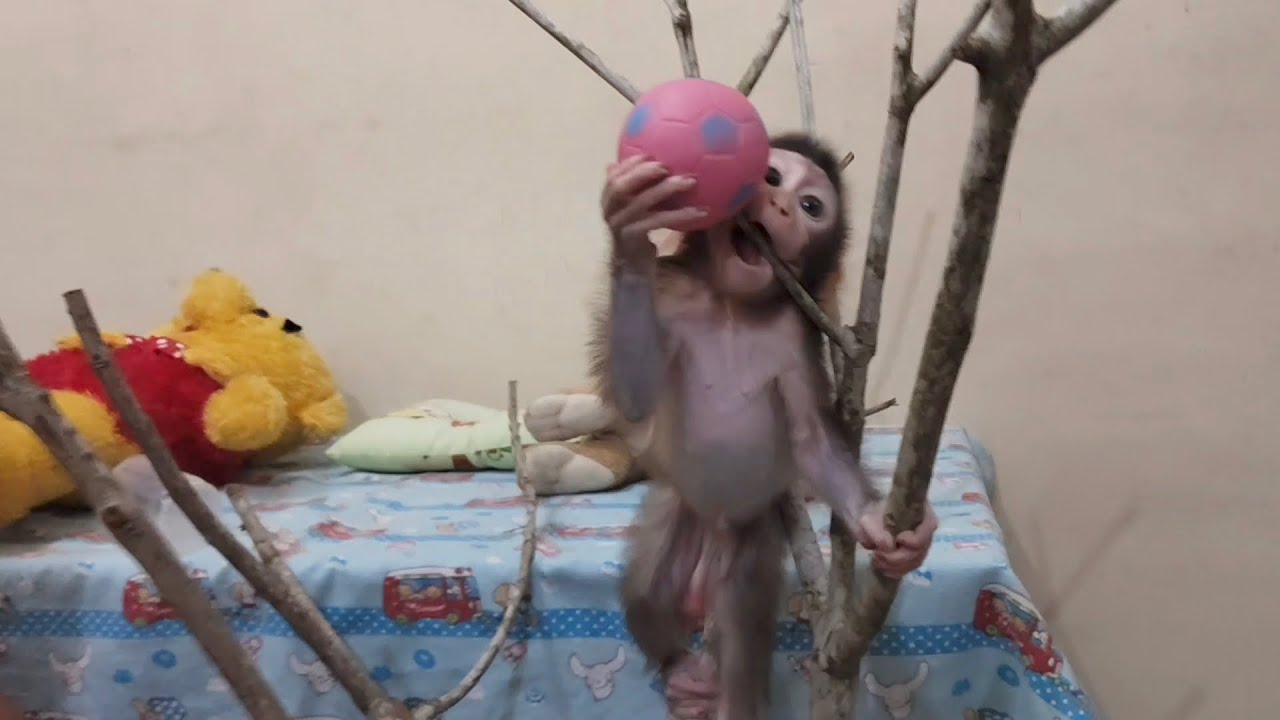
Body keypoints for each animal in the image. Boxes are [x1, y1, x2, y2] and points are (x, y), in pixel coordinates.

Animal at [589, 132, 939, 720]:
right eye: (772, 178)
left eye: (812, 206)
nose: (779, 207)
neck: (733, 303)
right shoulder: (669, 293)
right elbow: (636, 398)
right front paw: (632, 232)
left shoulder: (797, 335)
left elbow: (814, 441)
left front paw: (878, 524)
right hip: (678, 511)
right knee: (648, 593)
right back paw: (677, 668)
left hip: (749, 542)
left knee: (741, 640)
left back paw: (719, 689)